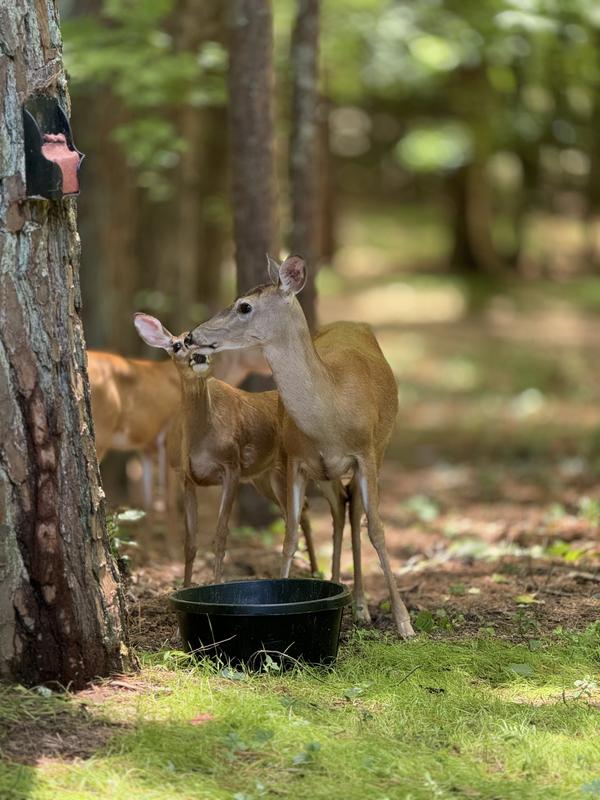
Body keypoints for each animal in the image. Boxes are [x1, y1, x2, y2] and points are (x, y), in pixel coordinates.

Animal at [133, 312, 347, 587]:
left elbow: (221, 535)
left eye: (201, 343)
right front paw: (185, 586)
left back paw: (312, 572)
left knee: (301, 510)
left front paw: (215, 583)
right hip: (264, 478)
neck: (201, 438)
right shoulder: (186, 476)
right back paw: (310, 570)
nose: (198, 357)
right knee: (298, 511)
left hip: (284, 469)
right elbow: (190, 542)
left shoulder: (231, 466)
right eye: (177, 345)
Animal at [185, 255, 415, 637]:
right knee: (340, 507)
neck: (330, 416)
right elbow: (290, 533)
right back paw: (340, 590)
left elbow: (378, 530)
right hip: (325, 472)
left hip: (378, 449)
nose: (192, 335)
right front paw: (282, 597)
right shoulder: (296, 459)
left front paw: (404, 622)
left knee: (354, 510)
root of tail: (353, 322)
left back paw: (361, 605)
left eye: (244, 306)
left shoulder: (365, 452)